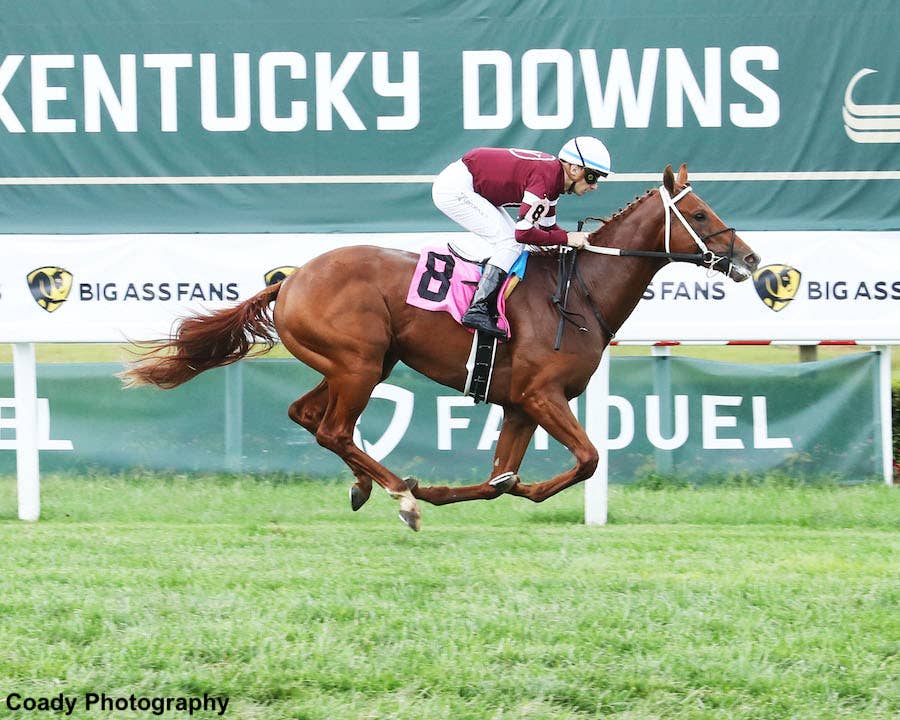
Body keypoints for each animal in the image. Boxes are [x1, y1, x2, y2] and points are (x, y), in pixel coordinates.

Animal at [121, 164, 760, 531]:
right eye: (700, 212)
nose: (751, 258)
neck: (580, 292)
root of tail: (290, 279)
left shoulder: (520, 405)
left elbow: (501, 477)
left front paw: (457, 489)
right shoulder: (543, 395)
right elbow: (586, 459)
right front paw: (441, 492)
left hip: (362, 363)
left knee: (307, 415)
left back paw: (367, 485)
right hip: (357, 363)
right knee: (332, 429)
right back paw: (398, 494)